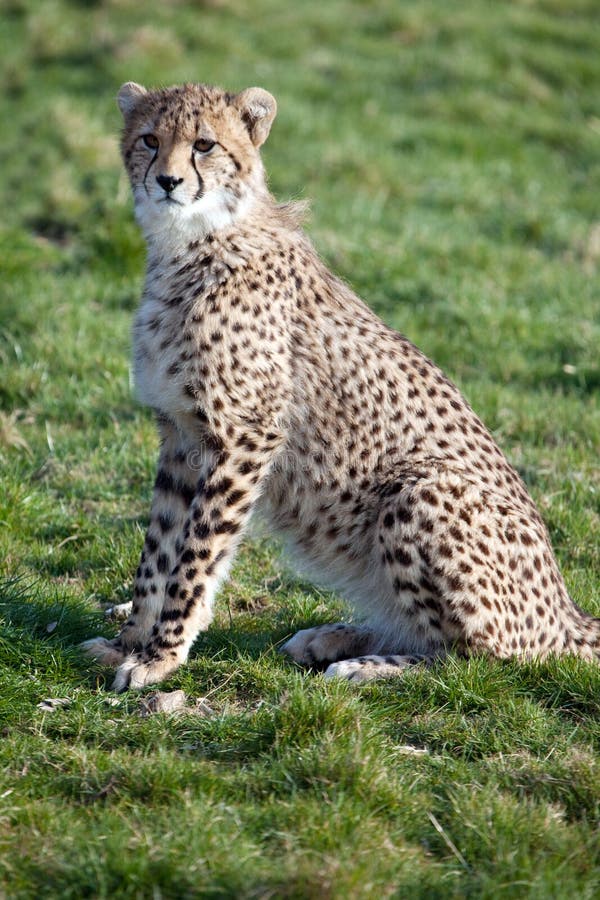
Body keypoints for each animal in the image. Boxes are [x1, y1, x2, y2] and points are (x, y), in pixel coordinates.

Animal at [82, 80, 600, 689]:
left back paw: (364, 666)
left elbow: (195, 556)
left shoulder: (244, 437)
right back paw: (329, 638)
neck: (194, 243)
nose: (166, 180)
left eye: (204, 144)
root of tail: (567, 612)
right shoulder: (181, 436)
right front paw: (128, 643)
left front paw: (160, 655)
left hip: (419, 490)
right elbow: (158, 551)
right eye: (149, 139)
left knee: (480, 659)